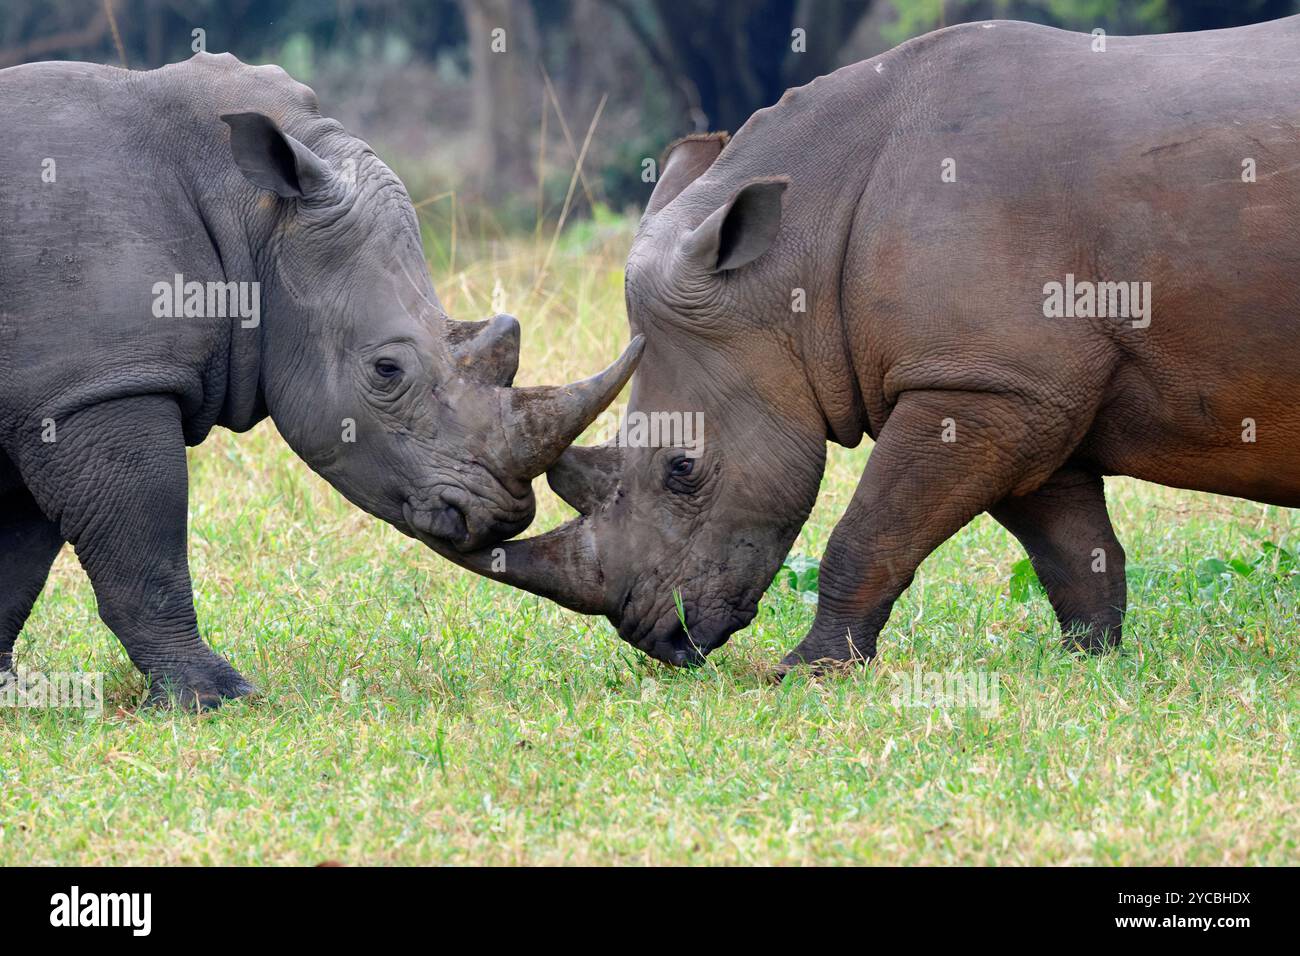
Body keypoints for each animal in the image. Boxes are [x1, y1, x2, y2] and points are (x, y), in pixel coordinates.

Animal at [0, 52, 641, 707]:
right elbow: (144, 549)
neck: (248, 209)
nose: (500, 518)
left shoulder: (45, 397)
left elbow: (18, 566)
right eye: (387, 371)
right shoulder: (95, 386)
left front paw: (10, 695)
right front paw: (218, 698)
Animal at [420, 17, 1300, 671]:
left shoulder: (982, 385)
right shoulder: (1019, 385)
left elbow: (868, 531)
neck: (794, 254)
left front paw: (805, 671)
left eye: (683, 470)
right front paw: (1092, 661)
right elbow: (1073, 549)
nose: (657, 639)